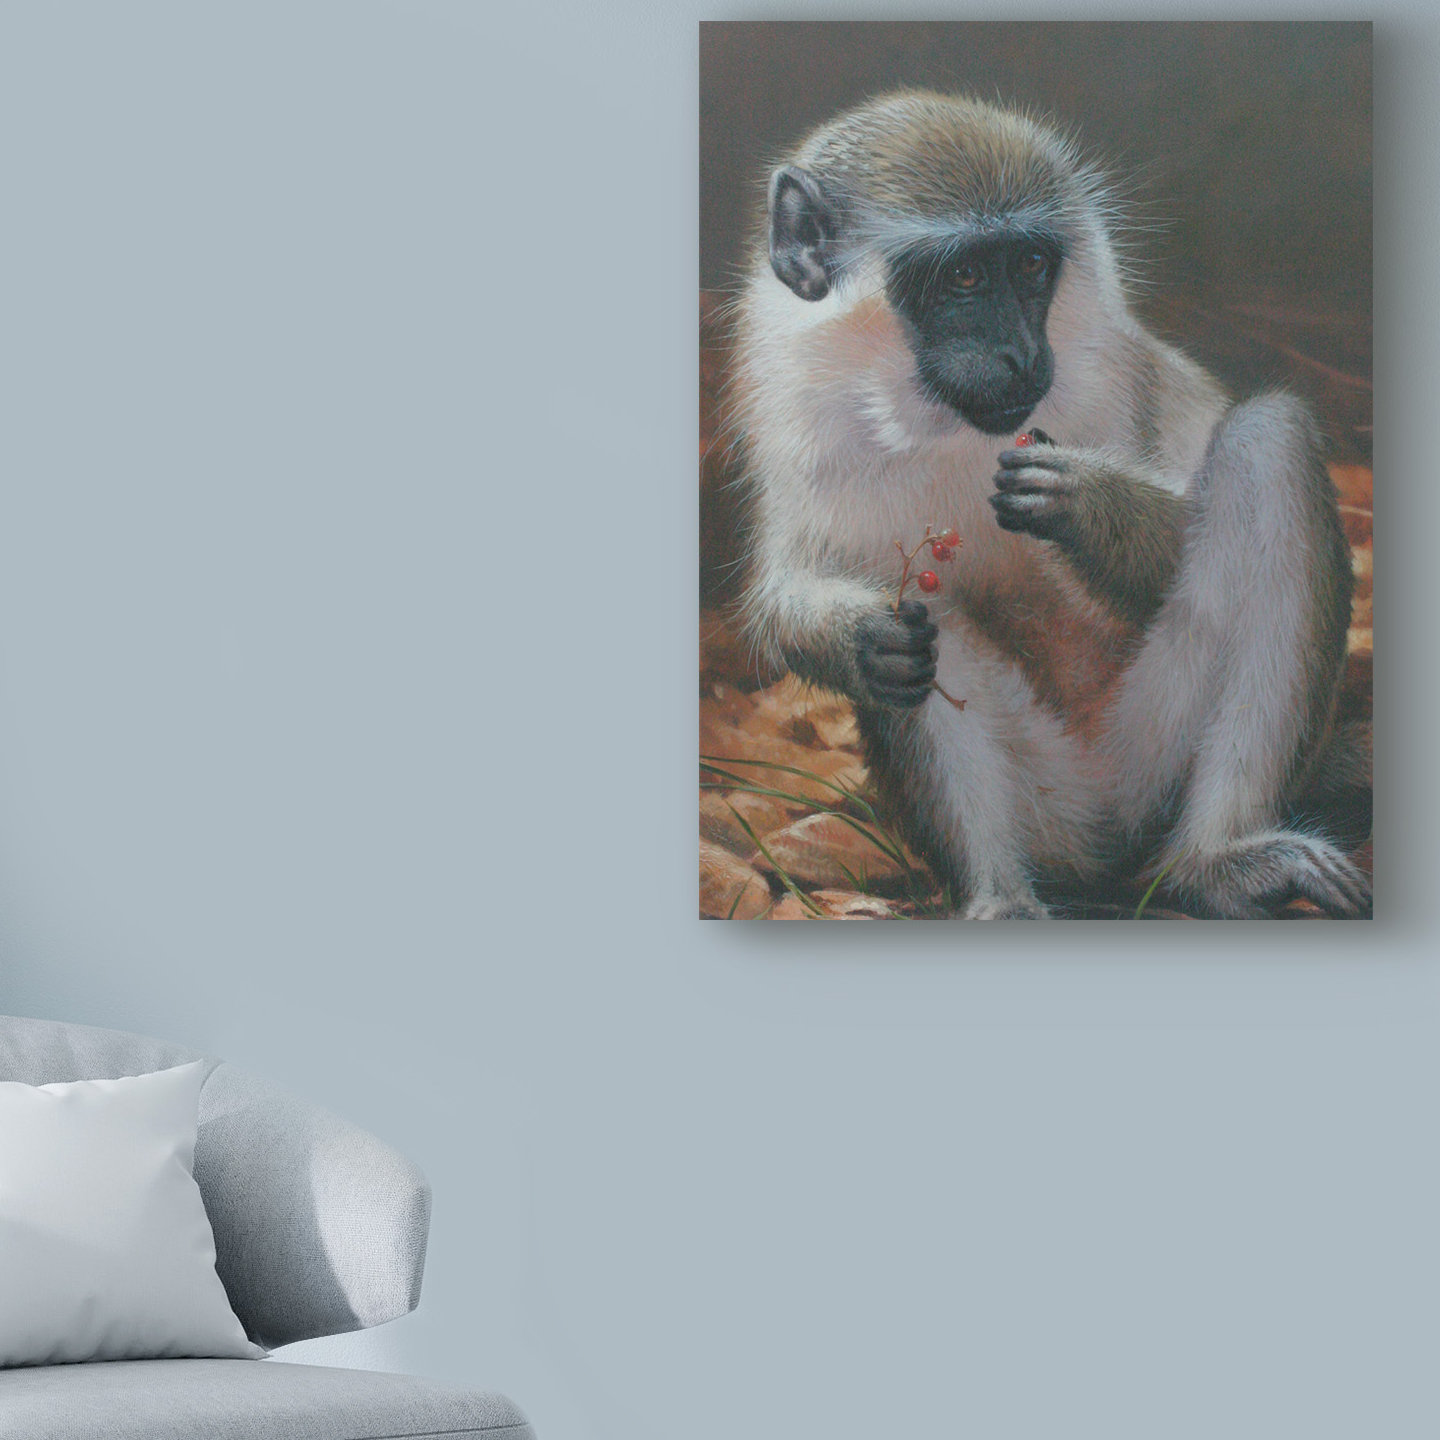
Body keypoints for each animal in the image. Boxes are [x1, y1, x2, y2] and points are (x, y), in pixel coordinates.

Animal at [729, 90, 1371, 919]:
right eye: (966, 276)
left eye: (1032, 265)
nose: (1021, 356)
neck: (940, 427)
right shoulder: (796, 425)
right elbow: (790, 593)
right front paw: (862, 639)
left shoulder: (1120, 368)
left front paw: (1085, 500)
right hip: (1050, 808)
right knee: (931, 625)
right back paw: (1002, 898)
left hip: (1152, 758)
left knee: (1272, 441)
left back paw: (1213, 861)